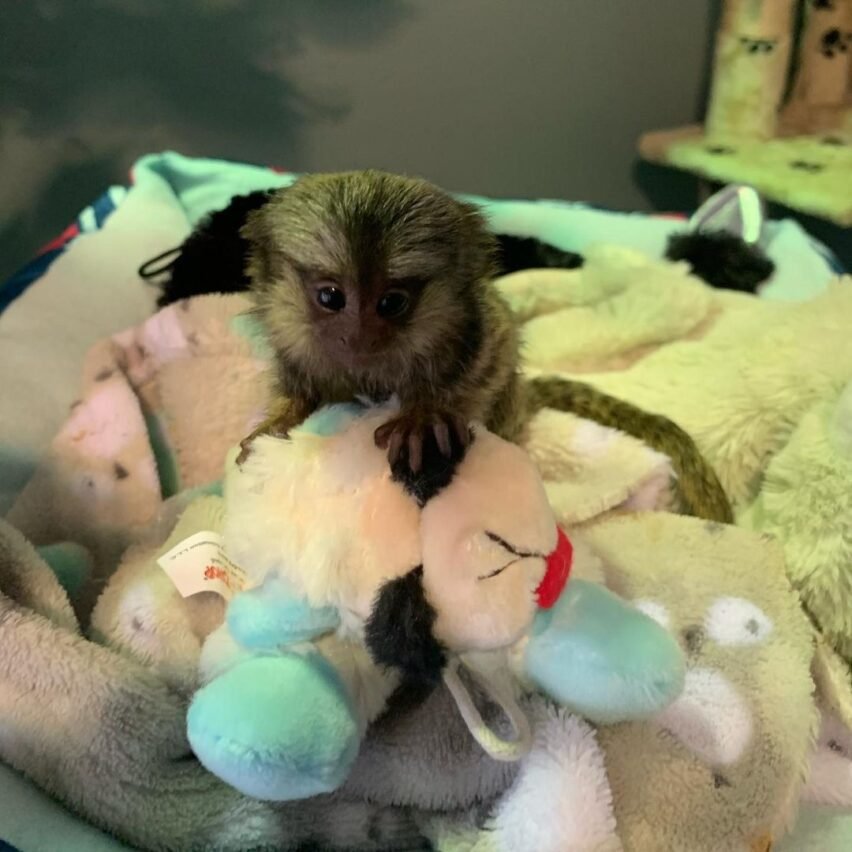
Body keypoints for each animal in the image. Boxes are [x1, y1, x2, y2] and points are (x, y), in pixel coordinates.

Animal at [234, 169, 732, 524]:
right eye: (331, 298)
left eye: (391, 303)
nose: (358, 336)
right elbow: (296, 395)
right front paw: (277, 423)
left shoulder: (481, 333)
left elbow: (491, 359)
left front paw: (424, 416)